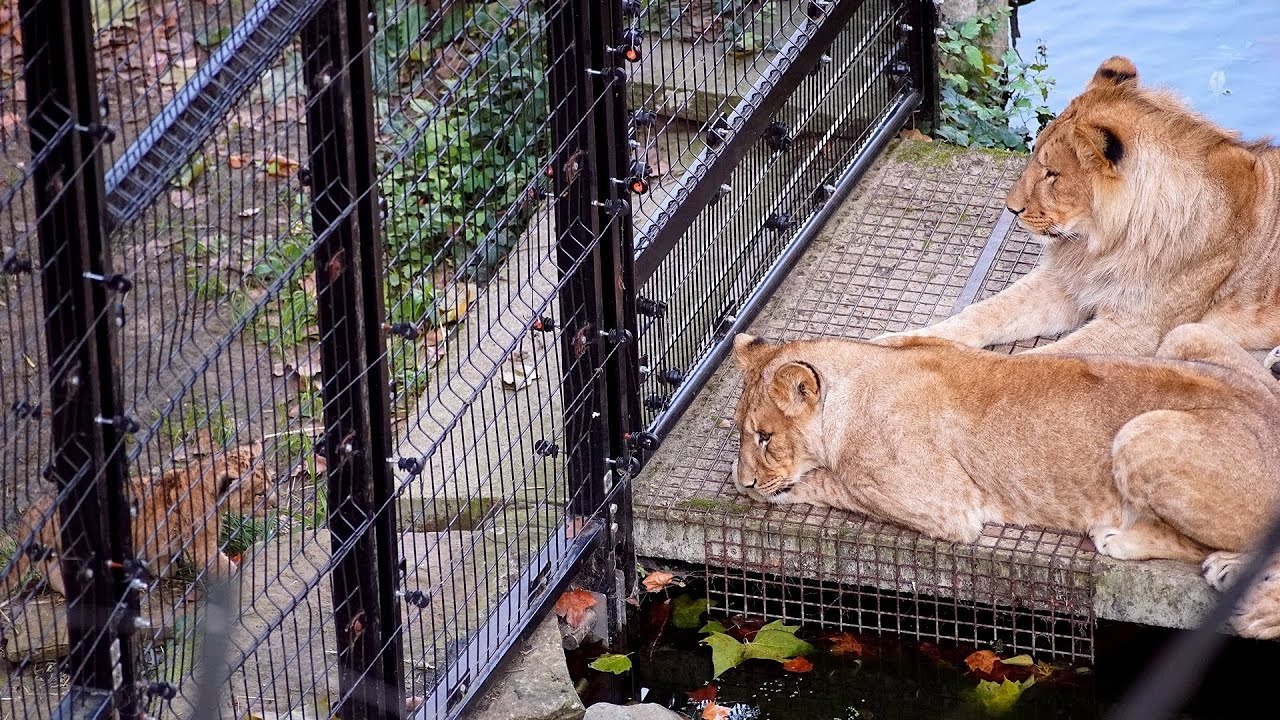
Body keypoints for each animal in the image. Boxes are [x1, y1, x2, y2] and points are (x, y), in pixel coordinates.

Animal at [4, 443, 277, 597]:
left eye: (272, 480)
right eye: (260, 493)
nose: (277, 503)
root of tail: (32, 513)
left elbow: (162, 558)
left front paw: (166, 571)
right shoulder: (203, 546)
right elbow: (220, 565)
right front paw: (236, 577)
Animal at [730, 324, 1280, 638]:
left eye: (764, 436)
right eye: (740, 429)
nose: (743, 485)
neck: (863, 378)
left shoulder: (945, 506)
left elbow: (834, 481)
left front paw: (783, 488)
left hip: (1138, 435)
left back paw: (1145, 545)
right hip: (1187, 336)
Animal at [881, 56, 1280, 356]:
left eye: (1052, 173)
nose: (1011, 209)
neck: (1106, 244)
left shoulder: (1137, 331)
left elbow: (1040, 360)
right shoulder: (1065, 282)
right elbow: (983, 312)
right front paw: (895, 344)